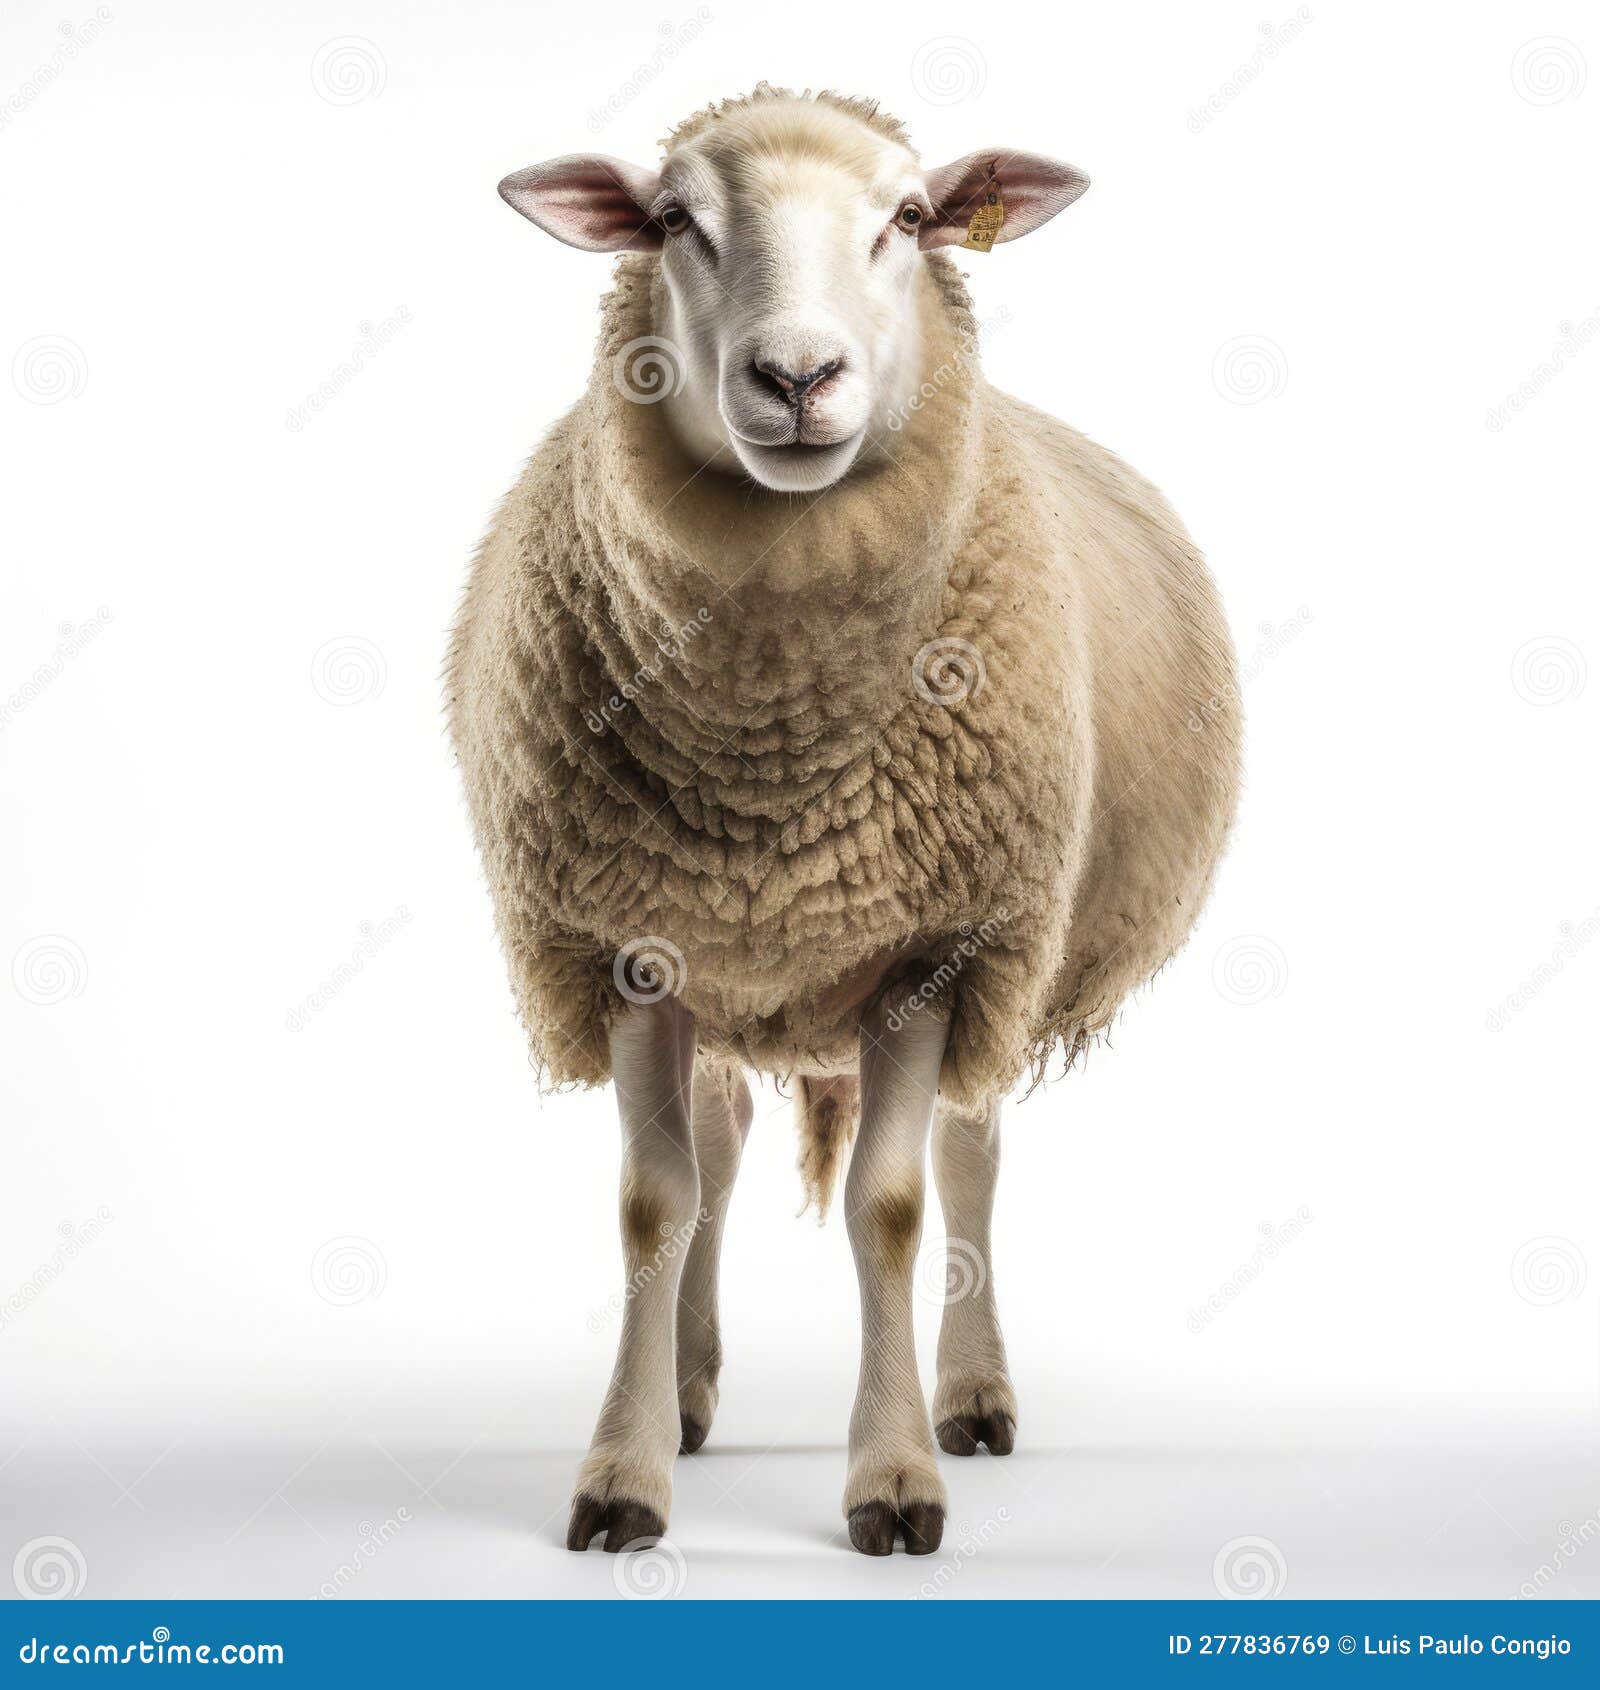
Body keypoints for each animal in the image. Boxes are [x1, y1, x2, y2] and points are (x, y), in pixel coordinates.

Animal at [446, 85, 1240, 1558]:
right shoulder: (631, 934)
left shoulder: (934, 939)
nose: (799, 376)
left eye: (911, 217)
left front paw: (895, 1476)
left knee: (971, 1148)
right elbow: (654, 1201)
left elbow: (893, 1201)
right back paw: (690, 1388)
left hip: (1007, 943)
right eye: (675, 219)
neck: (773, 757)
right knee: (717, 1147)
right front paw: (624, 1474)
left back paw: (973, 1395)